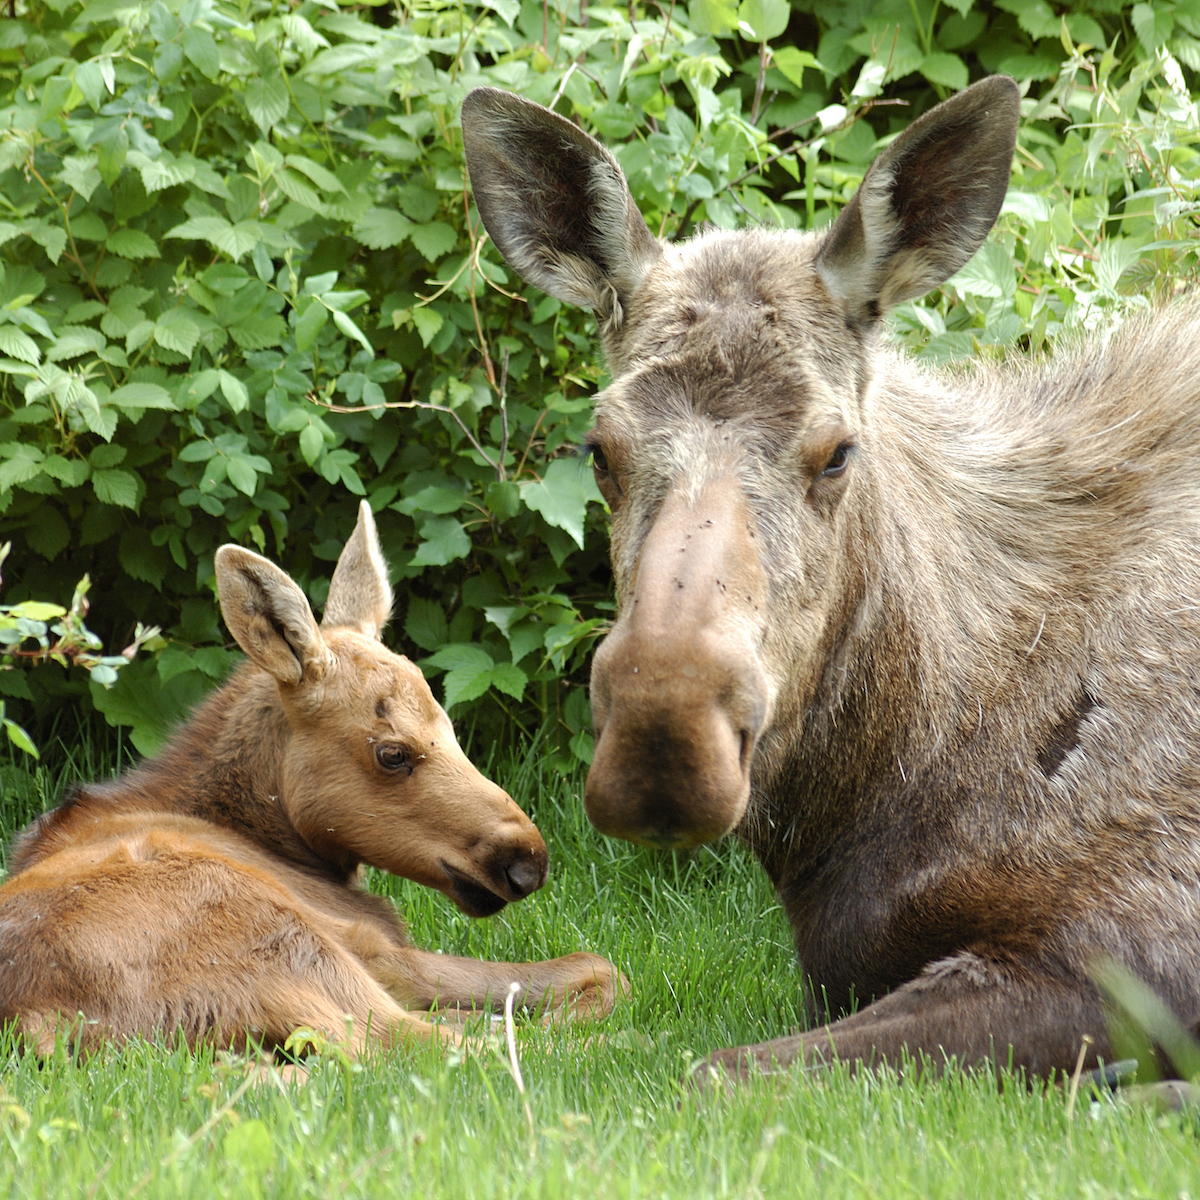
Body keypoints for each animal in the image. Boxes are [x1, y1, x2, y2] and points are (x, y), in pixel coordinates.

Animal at [0, 502, 625, 1057]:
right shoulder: (375, 947)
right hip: (293, 944)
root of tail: (41, 1023)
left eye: (450, 726)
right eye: (393, 754)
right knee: (423, 1047)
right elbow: (596, 967)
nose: (527, 860)